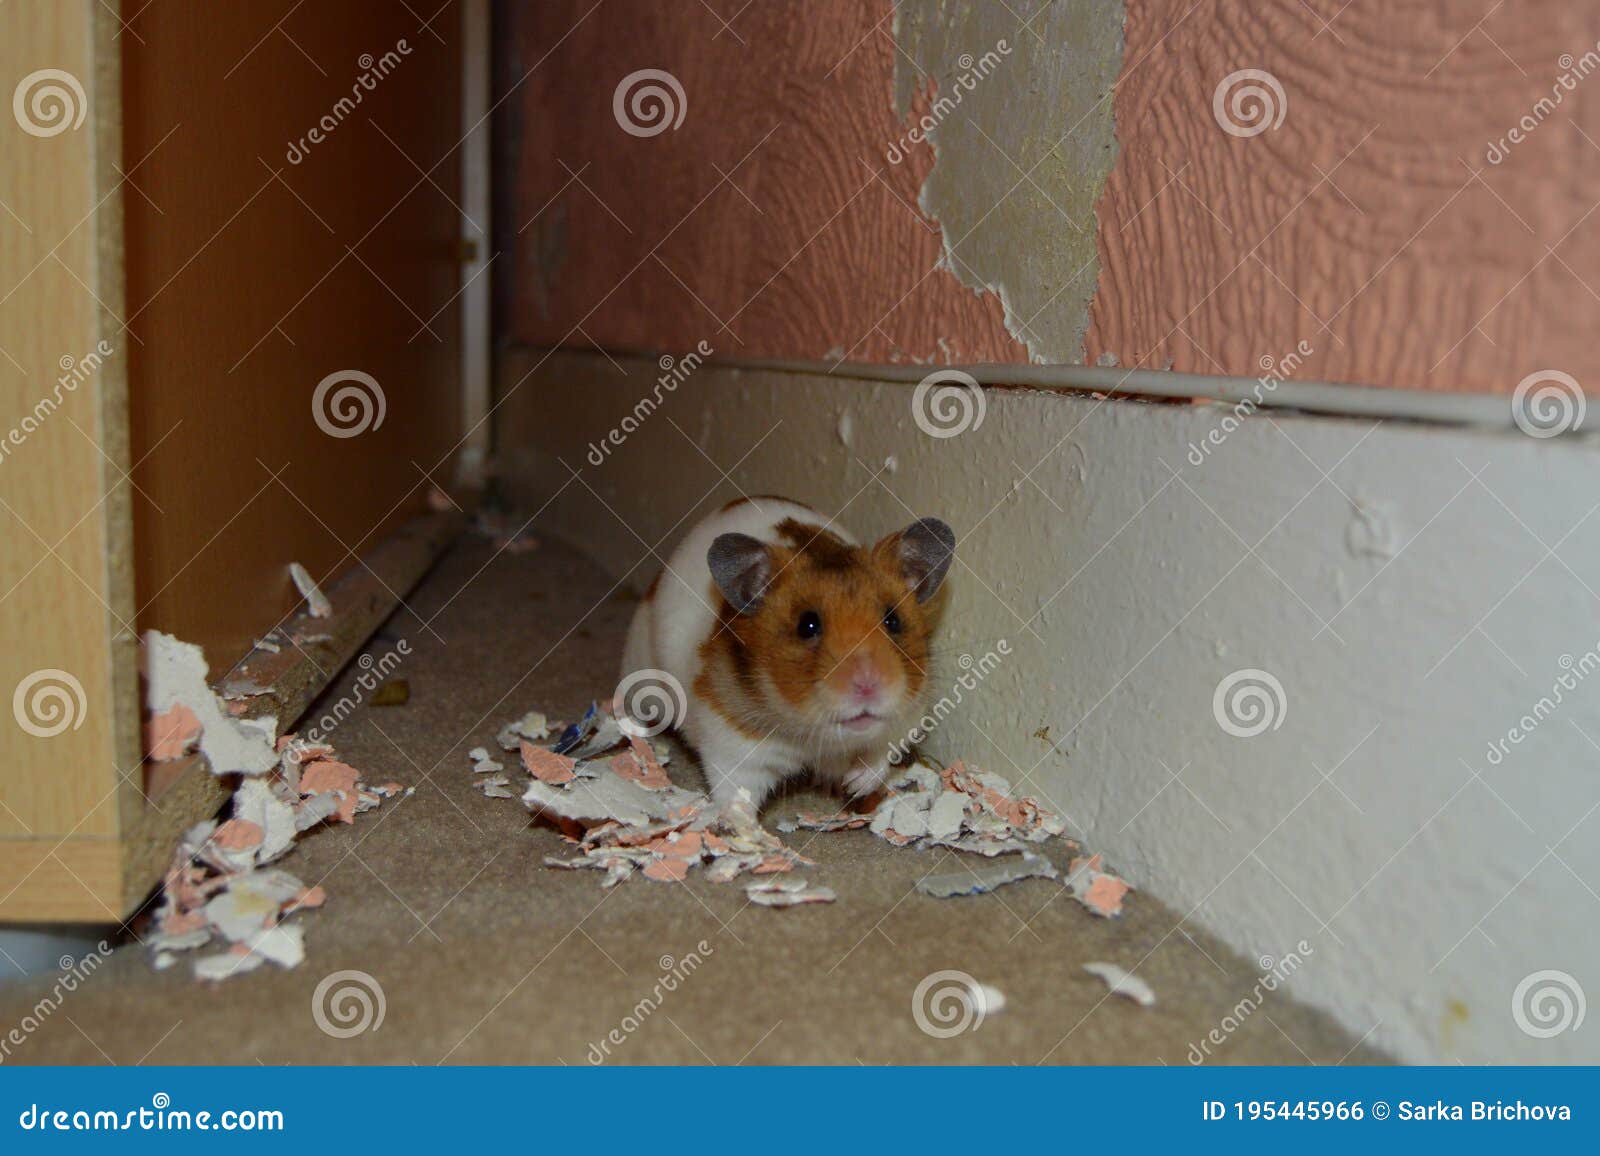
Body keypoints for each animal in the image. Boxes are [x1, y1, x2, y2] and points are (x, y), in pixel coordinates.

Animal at [620, 495, 955, 812]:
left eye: (892, 620)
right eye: (807, 625)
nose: (868, 686)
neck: (814, 737)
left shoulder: (909, 714)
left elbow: (882, 753)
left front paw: (855, 786)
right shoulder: (733, 748)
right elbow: (735, 795)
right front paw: (742, 826)